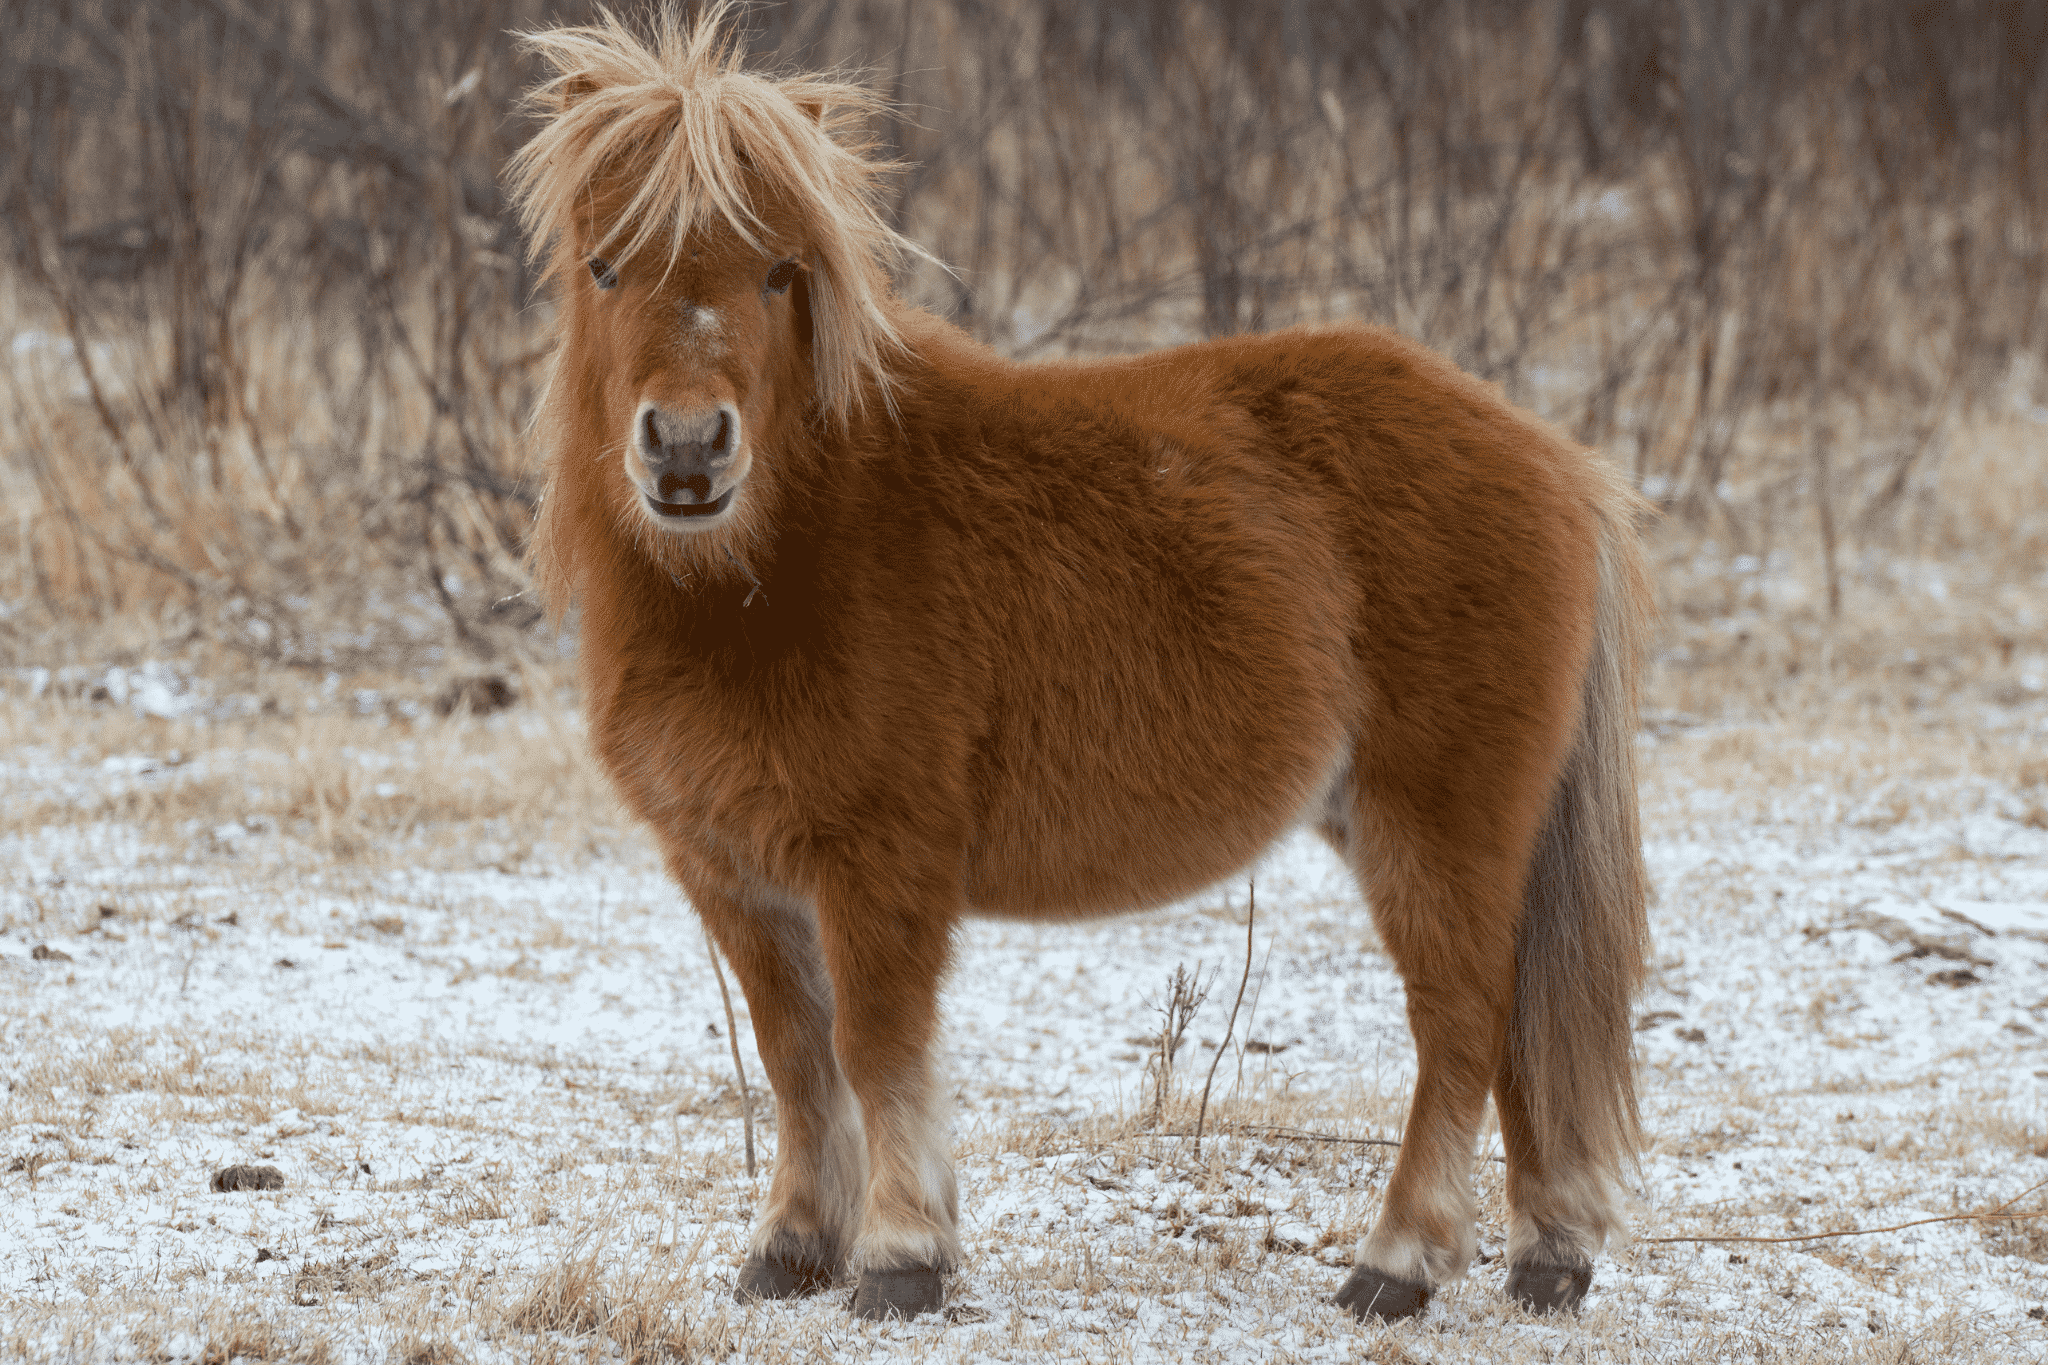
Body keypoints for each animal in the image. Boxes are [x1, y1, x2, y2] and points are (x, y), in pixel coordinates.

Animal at [509, 6, 1653, 1325]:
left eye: (777, 272)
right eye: (603, 266)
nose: (689, 452)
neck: (779, 563)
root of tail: (1553, 459)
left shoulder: (878, 864)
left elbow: (873, 1048)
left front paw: (898, 1261)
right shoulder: (733, 875)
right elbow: (795, 1059)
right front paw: (791, 1252)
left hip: (1435, 824)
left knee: (1464, 1023)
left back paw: (1395, 1266)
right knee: (1519, 1032)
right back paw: (1547, 1259)